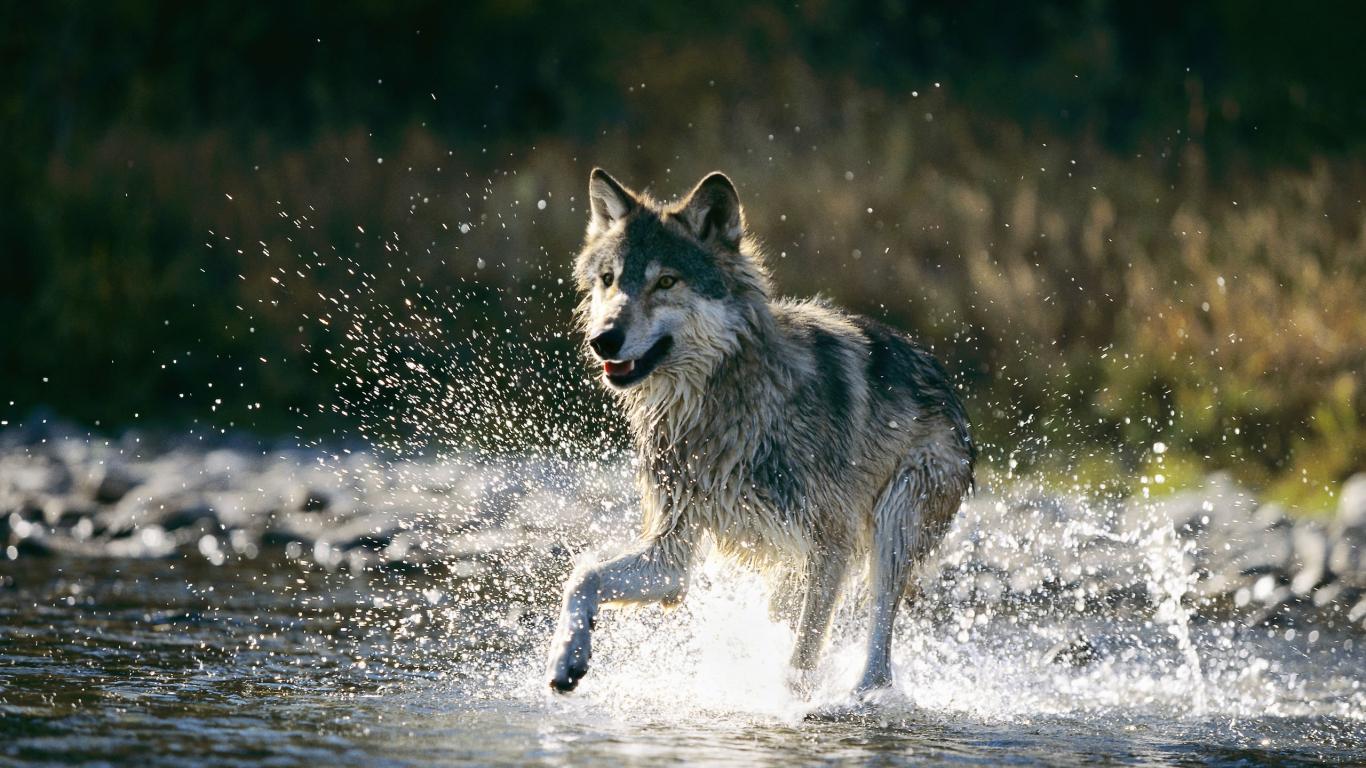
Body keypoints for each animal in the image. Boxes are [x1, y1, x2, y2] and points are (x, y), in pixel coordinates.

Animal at [546, 169, 974, 696]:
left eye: (665, 281)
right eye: (608, 280)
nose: (603, 339)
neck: (720, 411)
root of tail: (949, 388)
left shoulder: (830, 544)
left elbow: (802, 659)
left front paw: (792, 705)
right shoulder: (671, 557)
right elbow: (582, 575)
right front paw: (566, 658)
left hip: (892, 527)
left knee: (878, 661)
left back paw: (860, 698)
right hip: (793, 572)